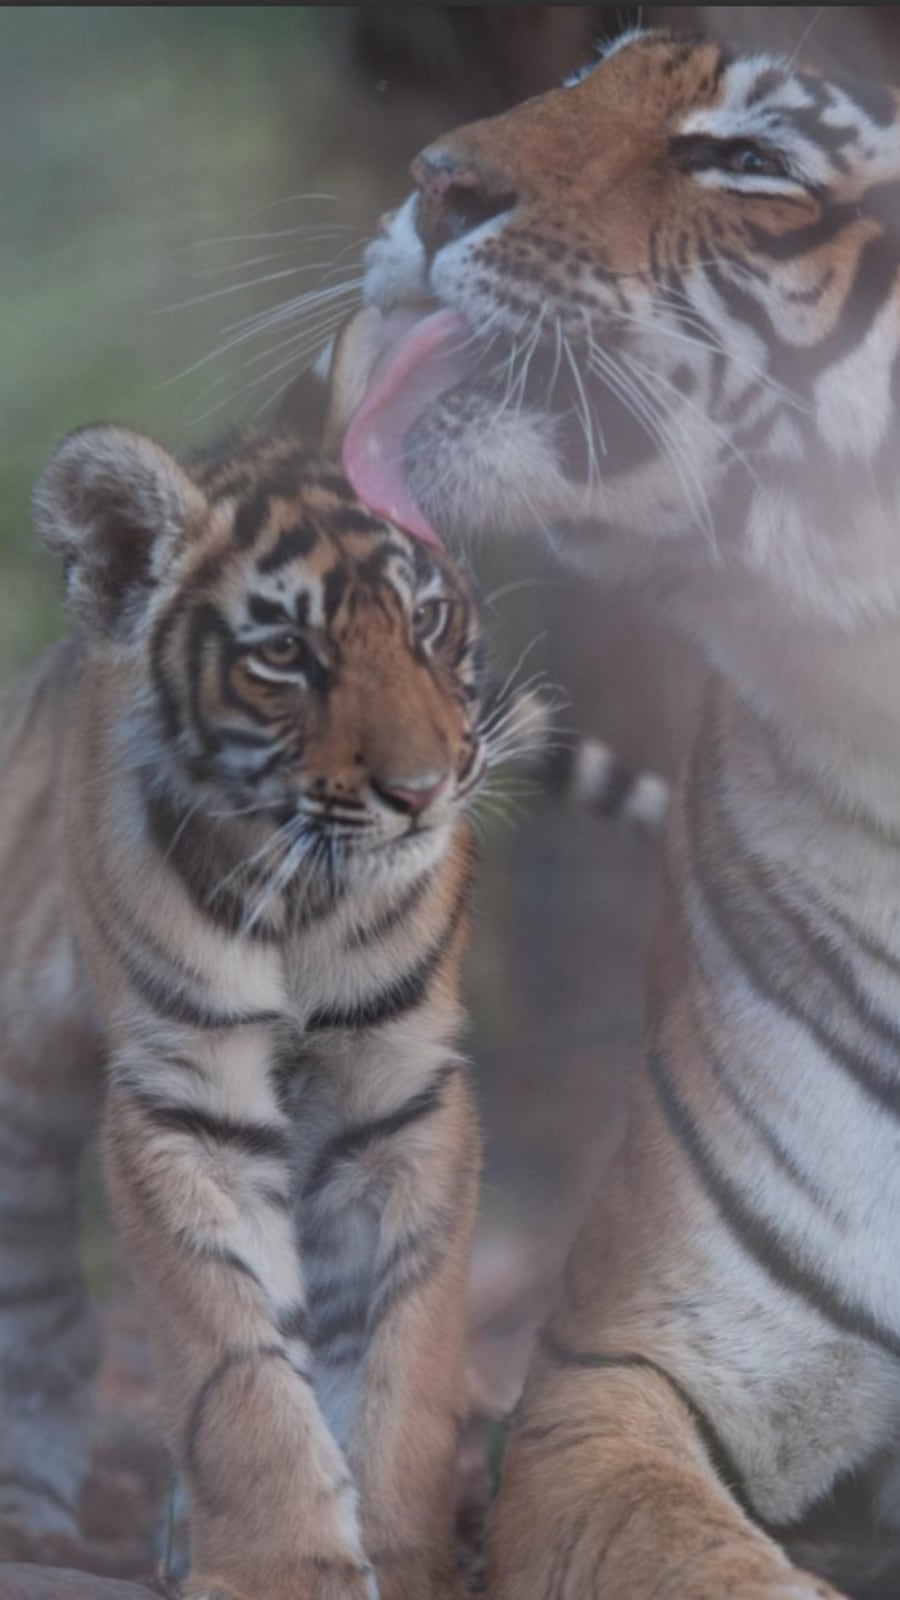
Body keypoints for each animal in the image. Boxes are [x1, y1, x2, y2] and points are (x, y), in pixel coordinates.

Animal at [0, 316, 549, 1600]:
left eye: (427, 623)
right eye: (288, 655)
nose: (423, 790)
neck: (306, 899)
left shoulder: (400, 1093)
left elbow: (400, 1355)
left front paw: (398, 1554)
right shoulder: (185, 1101)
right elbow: (234, 1361)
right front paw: (281, 1566)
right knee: (43, 1311)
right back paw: (36, 1516)